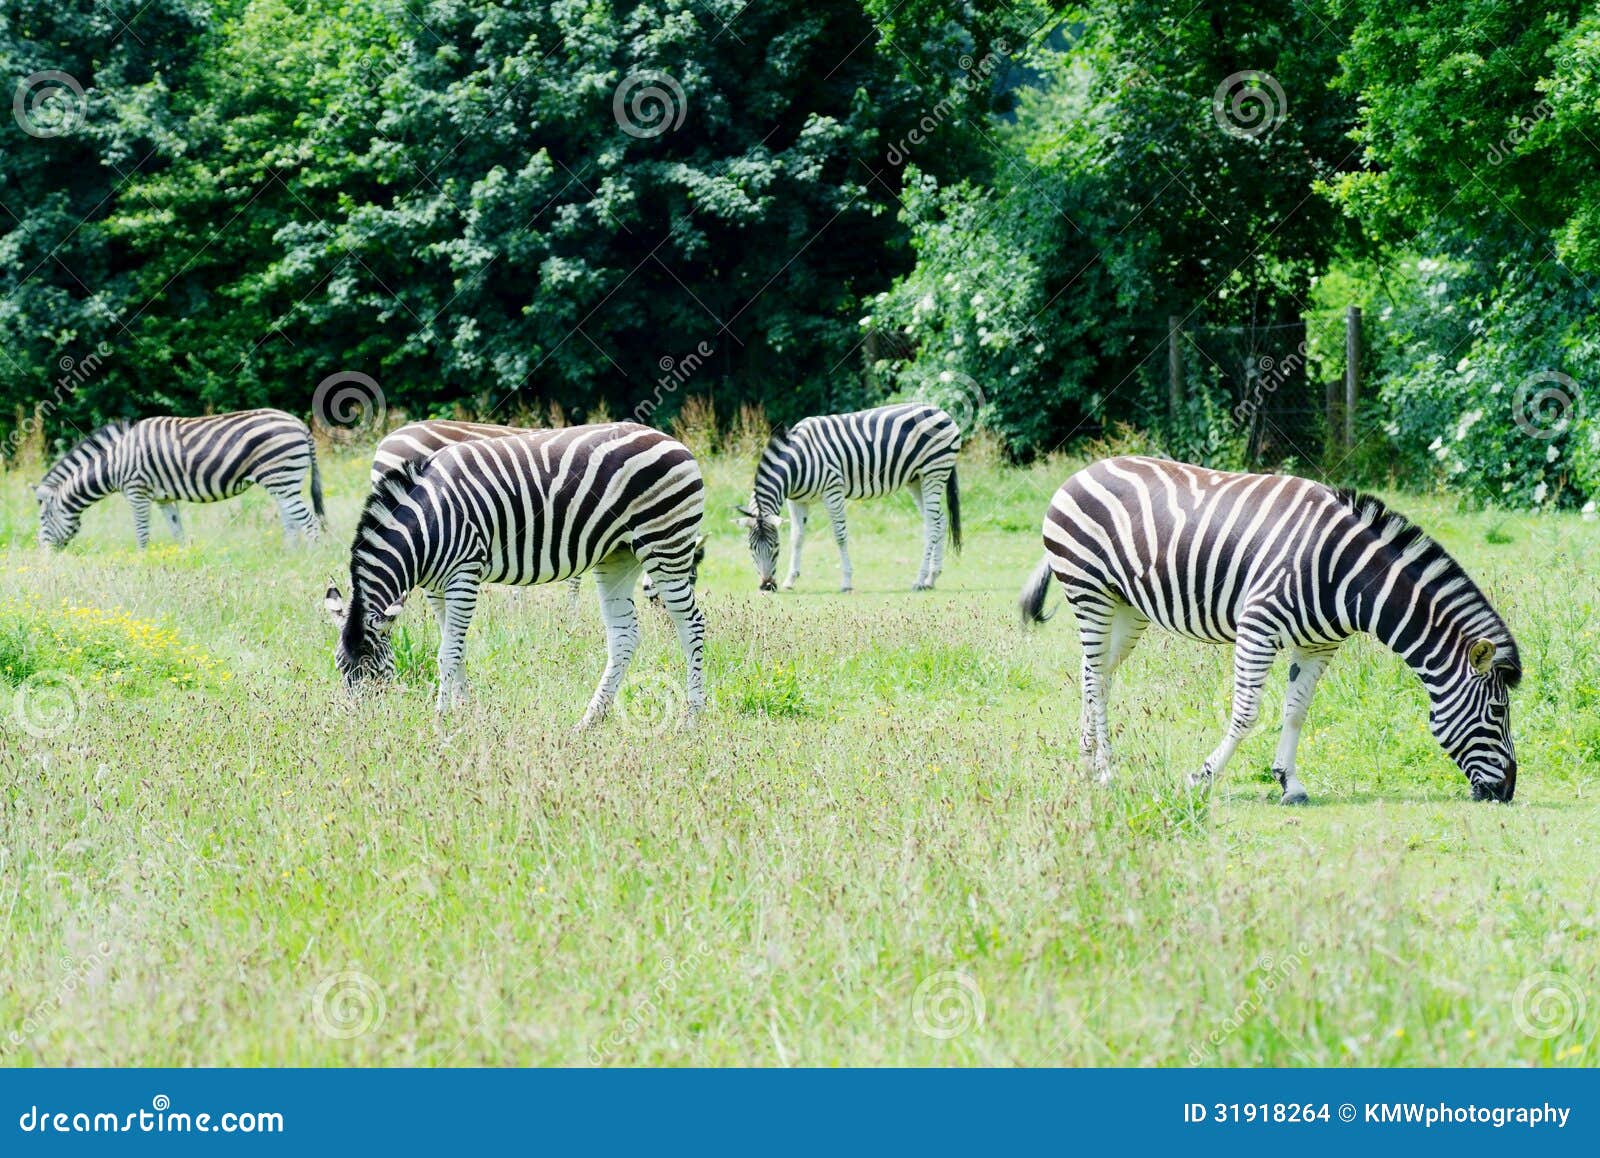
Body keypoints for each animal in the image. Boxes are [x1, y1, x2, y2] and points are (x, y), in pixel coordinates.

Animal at [34, 409, 324, 549]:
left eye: (43, 519)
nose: (44, 556)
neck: (116, 463)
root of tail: (300, 424)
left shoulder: (137, 492)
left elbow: (142, 533)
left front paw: (142, 562)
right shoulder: (164, 498)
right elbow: (177, 532)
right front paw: (183, 559)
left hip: (282, 477)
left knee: (310, 523)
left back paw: (310, 559)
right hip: (281, 482)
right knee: (291, 522)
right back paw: (289, 556)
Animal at [737, 402, 961, 592]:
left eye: (775, 548)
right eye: (751, 548)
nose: (766, 586)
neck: (798, 463)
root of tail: (942, 411)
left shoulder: (832, 490)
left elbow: (840, 535)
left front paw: (846, 582)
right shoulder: (796, 500)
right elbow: (797, 537)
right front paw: (790, 580)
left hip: (934, 472)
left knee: (932, 524)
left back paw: (919, 580)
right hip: (916, 479)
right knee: (940, 520)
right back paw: (931, 578)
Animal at [1019, 456, 1521, 804]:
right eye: (1498, 712)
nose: (1507, 792)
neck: (1346, 575)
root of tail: (1084, 471)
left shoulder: (1319, 646)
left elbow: (1296, 711)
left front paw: (1289, 783)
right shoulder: (1257, 628)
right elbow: (1246, 713)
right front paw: (1201, 777)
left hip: (1128, 609)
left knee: (1096, 676)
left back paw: (1088, 762)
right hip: (1090, 593)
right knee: (1092, 679)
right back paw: (1105, 770)